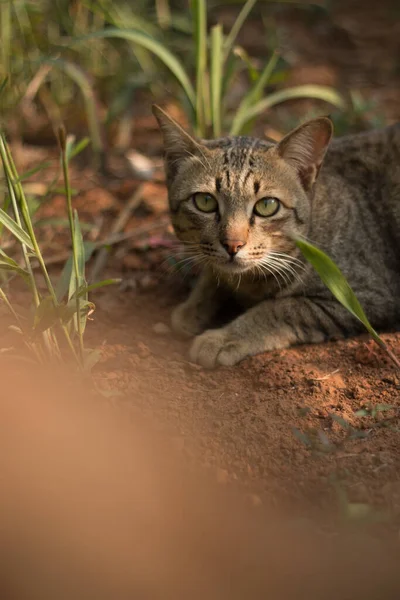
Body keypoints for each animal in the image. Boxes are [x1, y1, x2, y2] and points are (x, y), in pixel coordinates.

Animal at [152, 105, 400, 368]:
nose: (232, 244)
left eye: (267, 205)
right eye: (205, 201)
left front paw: (223, 338)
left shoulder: (365, 296)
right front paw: (192, 308)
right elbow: (212, 278)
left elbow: (280, 308)